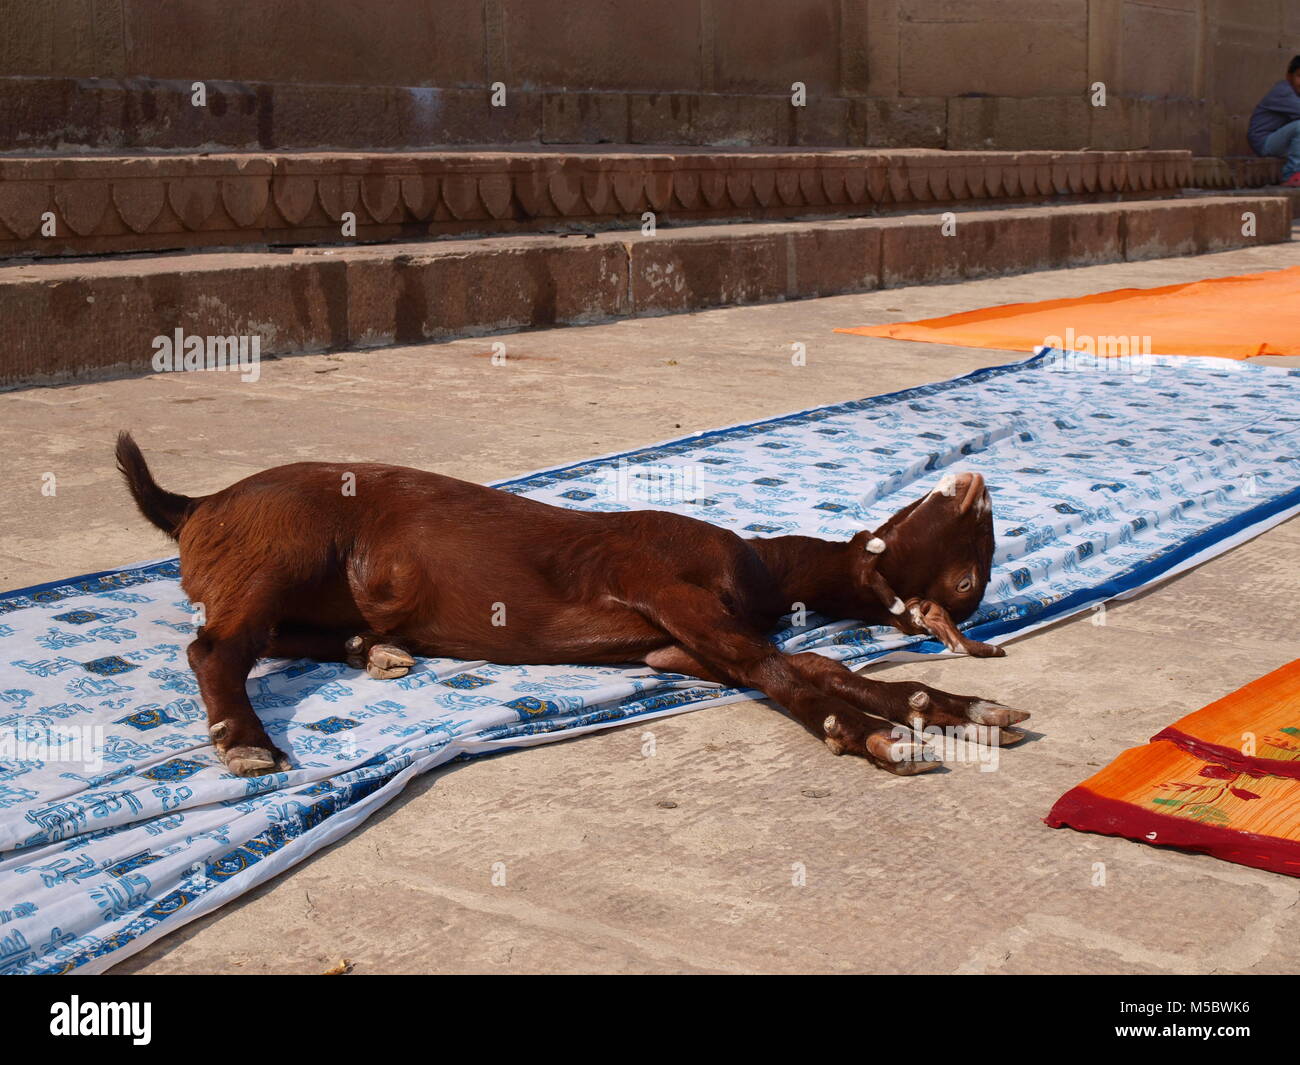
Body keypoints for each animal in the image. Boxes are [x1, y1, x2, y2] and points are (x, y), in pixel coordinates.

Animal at [115, 432, 1028, 778]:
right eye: (971, 562)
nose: (978, 479)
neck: (771, 570)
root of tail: (198, 505)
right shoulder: (663, 585)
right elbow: (784, 667)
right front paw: (871, 731)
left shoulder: (673, 643)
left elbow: (804, 660)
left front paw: (946, 703)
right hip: (285, 544)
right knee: (215, 647)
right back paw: (244, 735)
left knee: (277, 637)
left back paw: (369, 650)